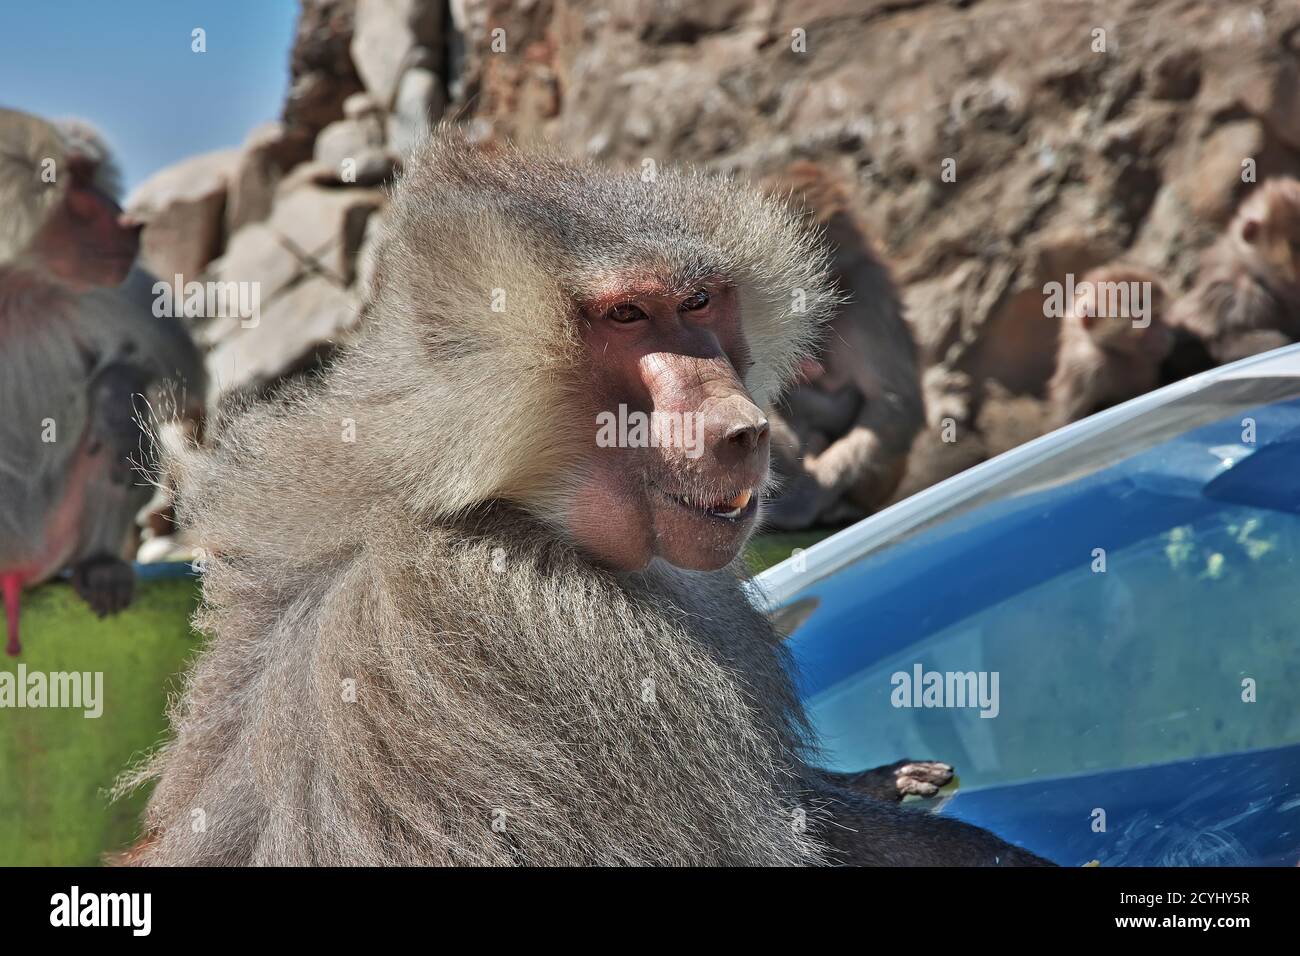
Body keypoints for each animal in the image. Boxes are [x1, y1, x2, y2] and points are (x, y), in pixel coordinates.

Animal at [0, 109, 205, 654]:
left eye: (93, 174)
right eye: (74, 181)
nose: (130, 221)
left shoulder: (110, 288)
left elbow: (179, 376)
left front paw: (117, 393)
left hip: (56, 533)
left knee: (118, 440)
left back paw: (101, 567)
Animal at [1047, 265, 1174, 429]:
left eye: (1158, 316)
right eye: (1145, 321)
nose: (1165, 338)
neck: (1113, 352)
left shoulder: (1142, 363)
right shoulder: (1086, 364)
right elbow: (1067, 418)